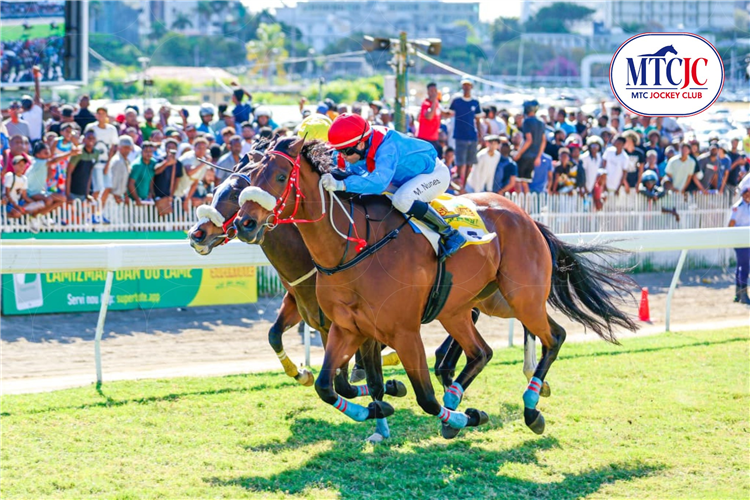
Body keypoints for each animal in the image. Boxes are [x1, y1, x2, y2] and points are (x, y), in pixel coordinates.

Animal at [188, 154, 407, 442]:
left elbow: (356, 381)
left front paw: (385, 403)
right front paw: (302, 373)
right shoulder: (304, 307)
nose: (196, 234)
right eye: (215, 190)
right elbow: (275, 335)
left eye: (236, 194)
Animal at [232, 137, 637, 438]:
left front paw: (465, 416)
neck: (351, 248)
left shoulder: (404, 332)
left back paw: (529, 408)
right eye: (248, 173)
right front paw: (379, 411)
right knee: (483, 351)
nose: (244, 223)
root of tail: (526, 216)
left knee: (553, 336)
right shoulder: (349, 329)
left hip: (522, 297)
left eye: (280, 177)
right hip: (468, 306)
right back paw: (462, 399)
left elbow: (424, 398)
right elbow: (329, 386)